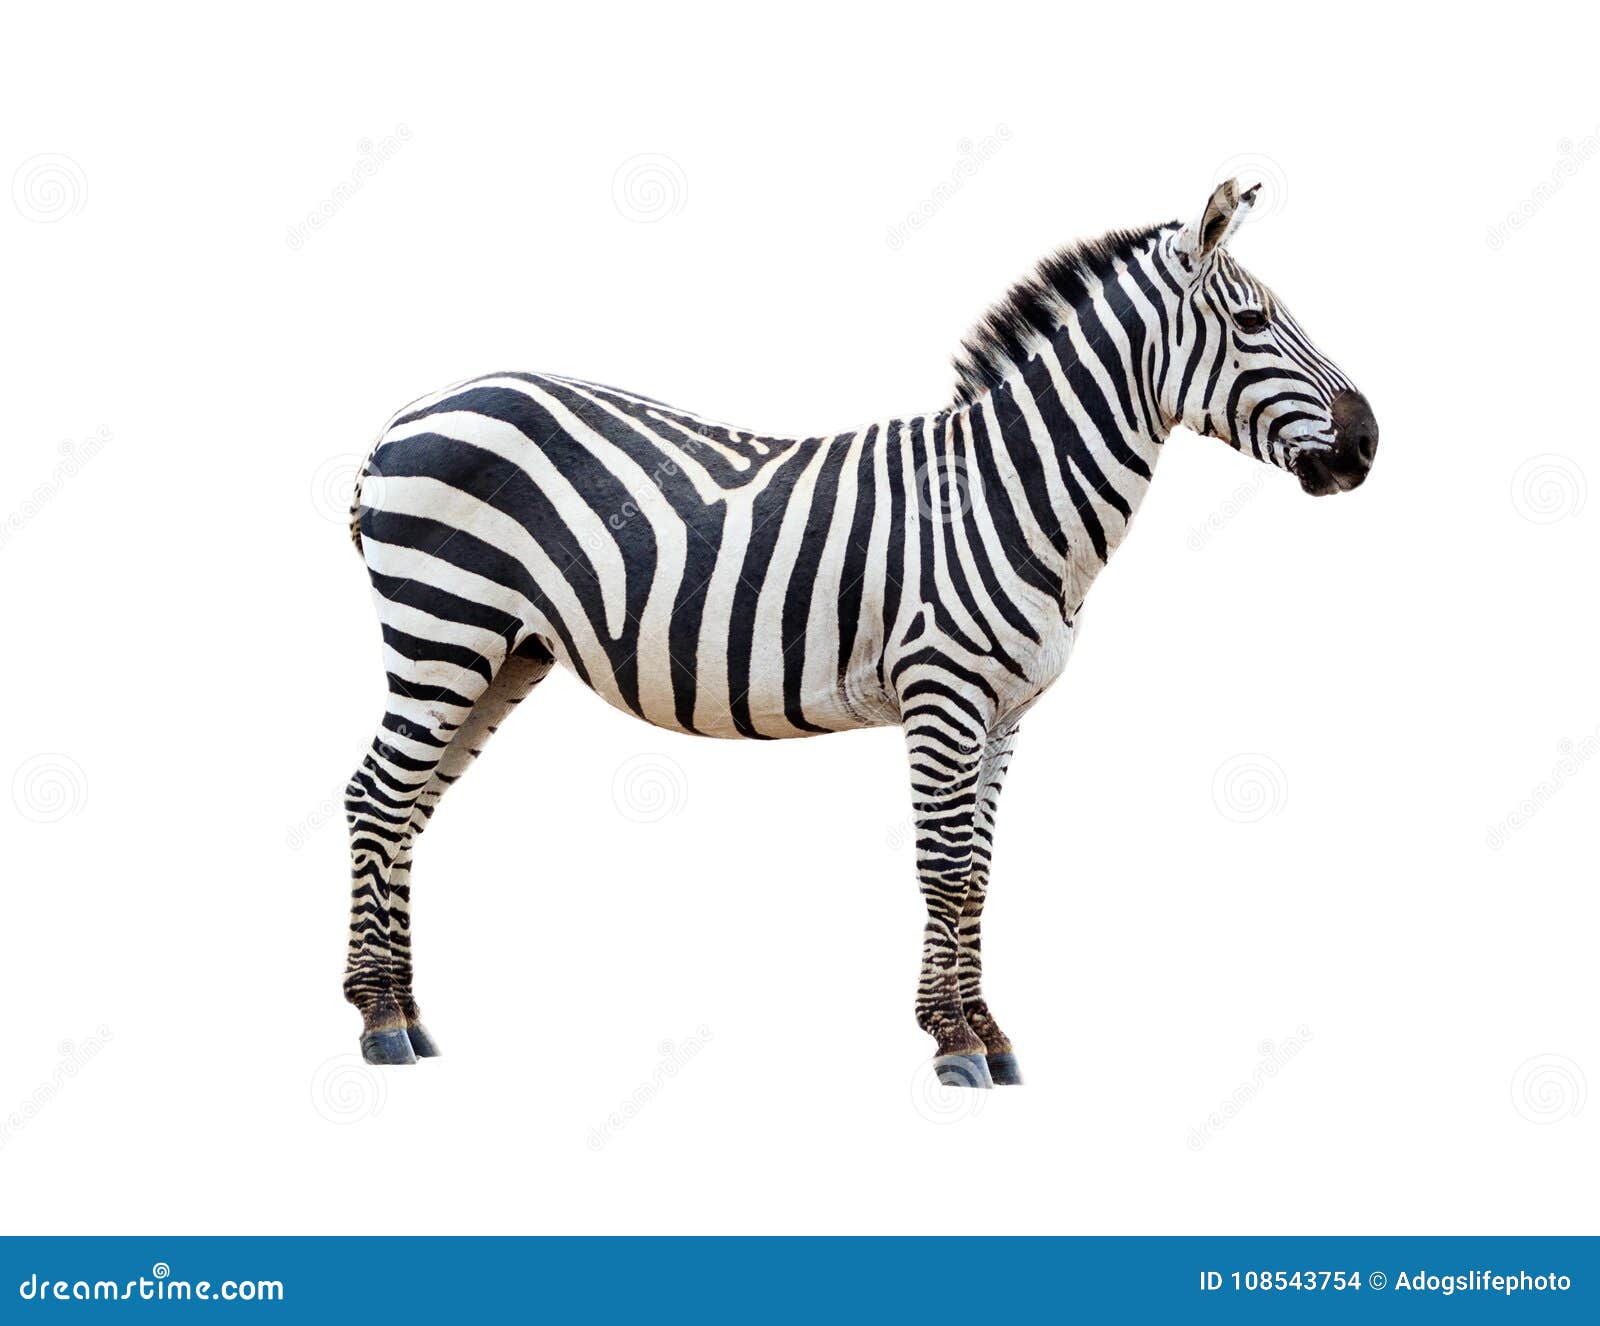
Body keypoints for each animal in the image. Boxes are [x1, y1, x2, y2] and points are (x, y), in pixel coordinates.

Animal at [342, 177, 1377, 1087]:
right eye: (1254, 325)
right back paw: (379, 1023)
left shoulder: (1006, 716)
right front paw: (955, 1043)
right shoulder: (944, 697)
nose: (1369, 443)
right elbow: (945, 869)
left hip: (500, 652)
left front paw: (985, 1031)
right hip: (441, 628)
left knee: (409, 810)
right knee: (374, 800)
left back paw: (411, 1015)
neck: (1008, 494)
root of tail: (408, 415)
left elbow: (980, 875)